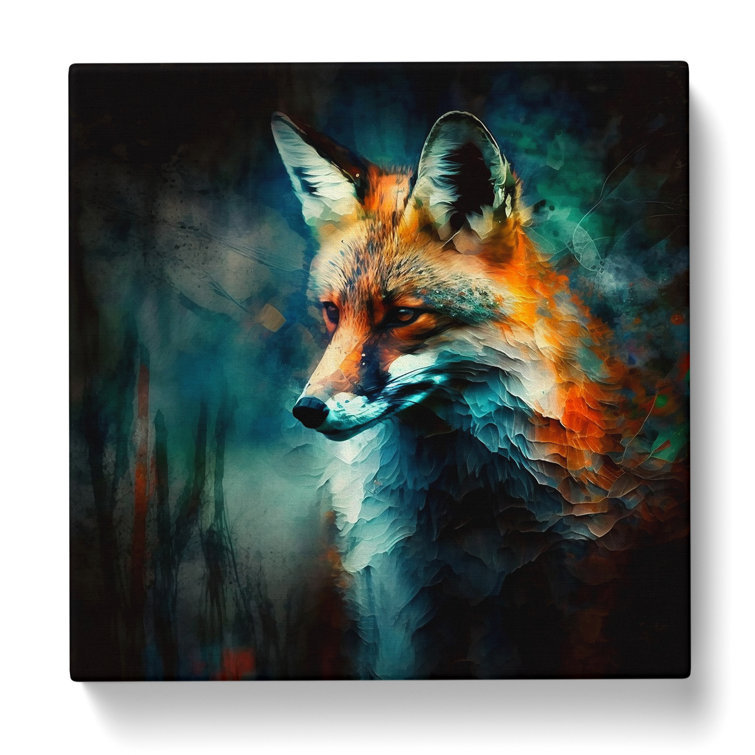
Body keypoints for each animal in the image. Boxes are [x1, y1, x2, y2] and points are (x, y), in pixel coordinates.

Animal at [271, 111, 689, 679]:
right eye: (333, 311)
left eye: (403, 315)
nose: (307, 410)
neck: (464, 512)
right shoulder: (399, 598)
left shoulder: (572, 587)